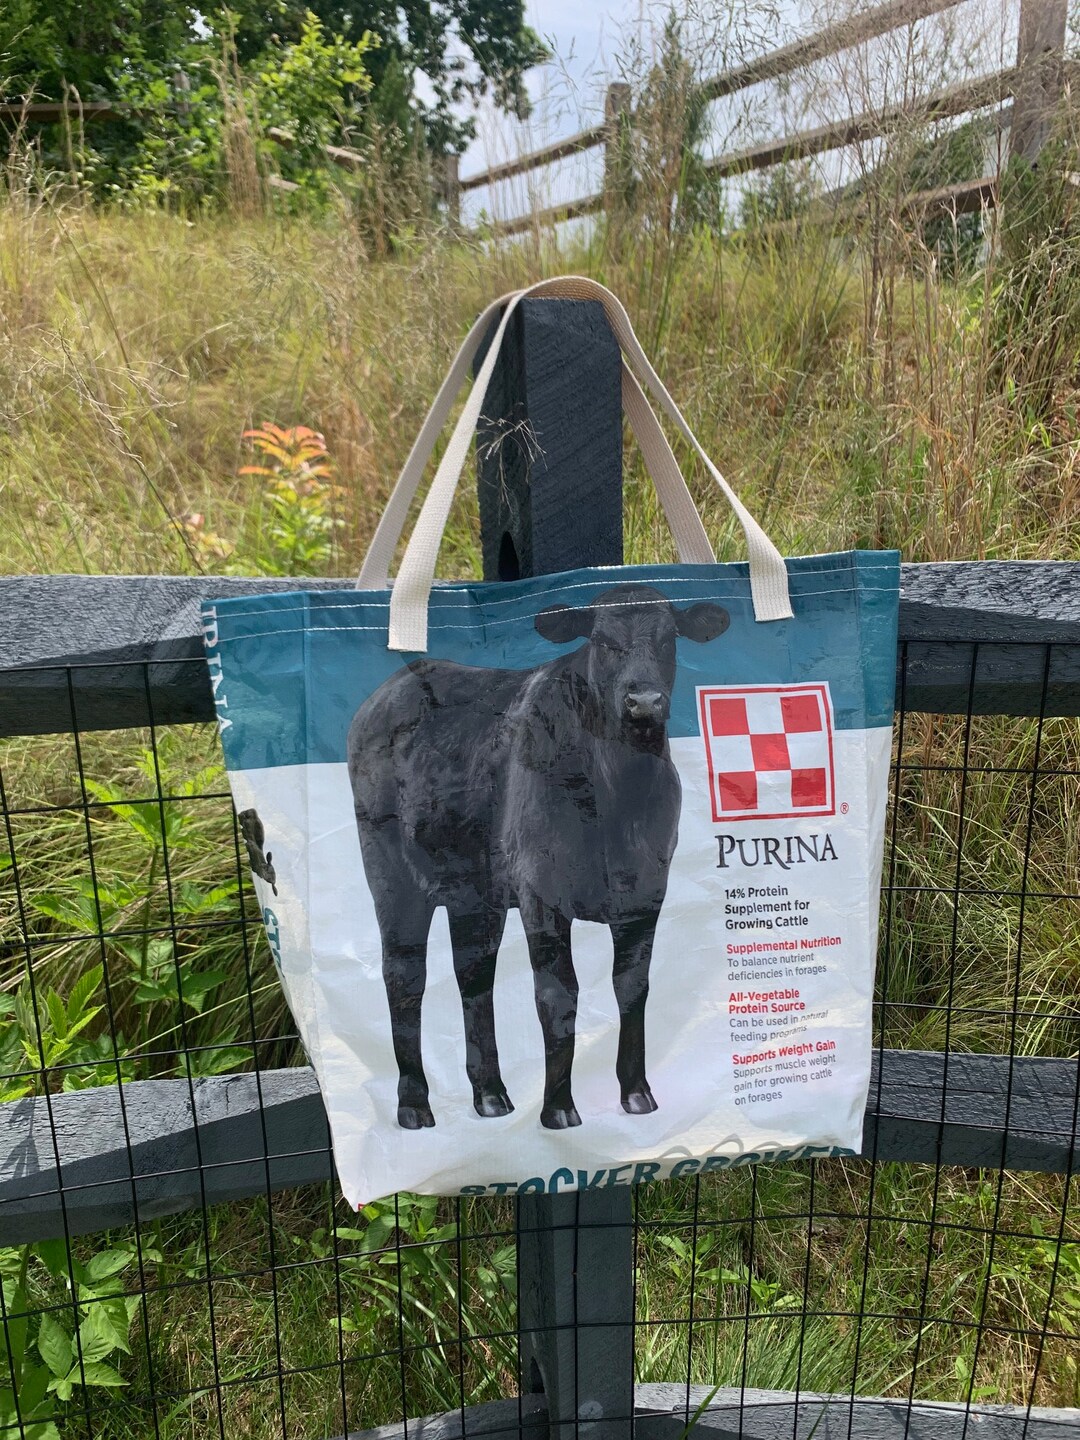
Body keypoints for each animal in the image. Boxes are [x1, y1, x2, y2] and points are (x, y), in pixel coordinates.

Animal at [347, 584, 730, 1131]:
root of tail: (392, 687)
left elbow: (632, 987)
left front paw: (636, 1093)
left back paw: (489, 1094)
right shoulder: (540, 893)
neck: (617, 797)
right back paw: (414, 1105)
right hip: (391, 878)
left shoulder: (646, 893)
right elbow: (557, 995)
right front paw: (559, 1107)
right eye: (602, 640)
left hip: (473, 896)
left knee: (473, 977)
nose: (644, 701)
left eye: (668, 638)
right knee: (404, 976)